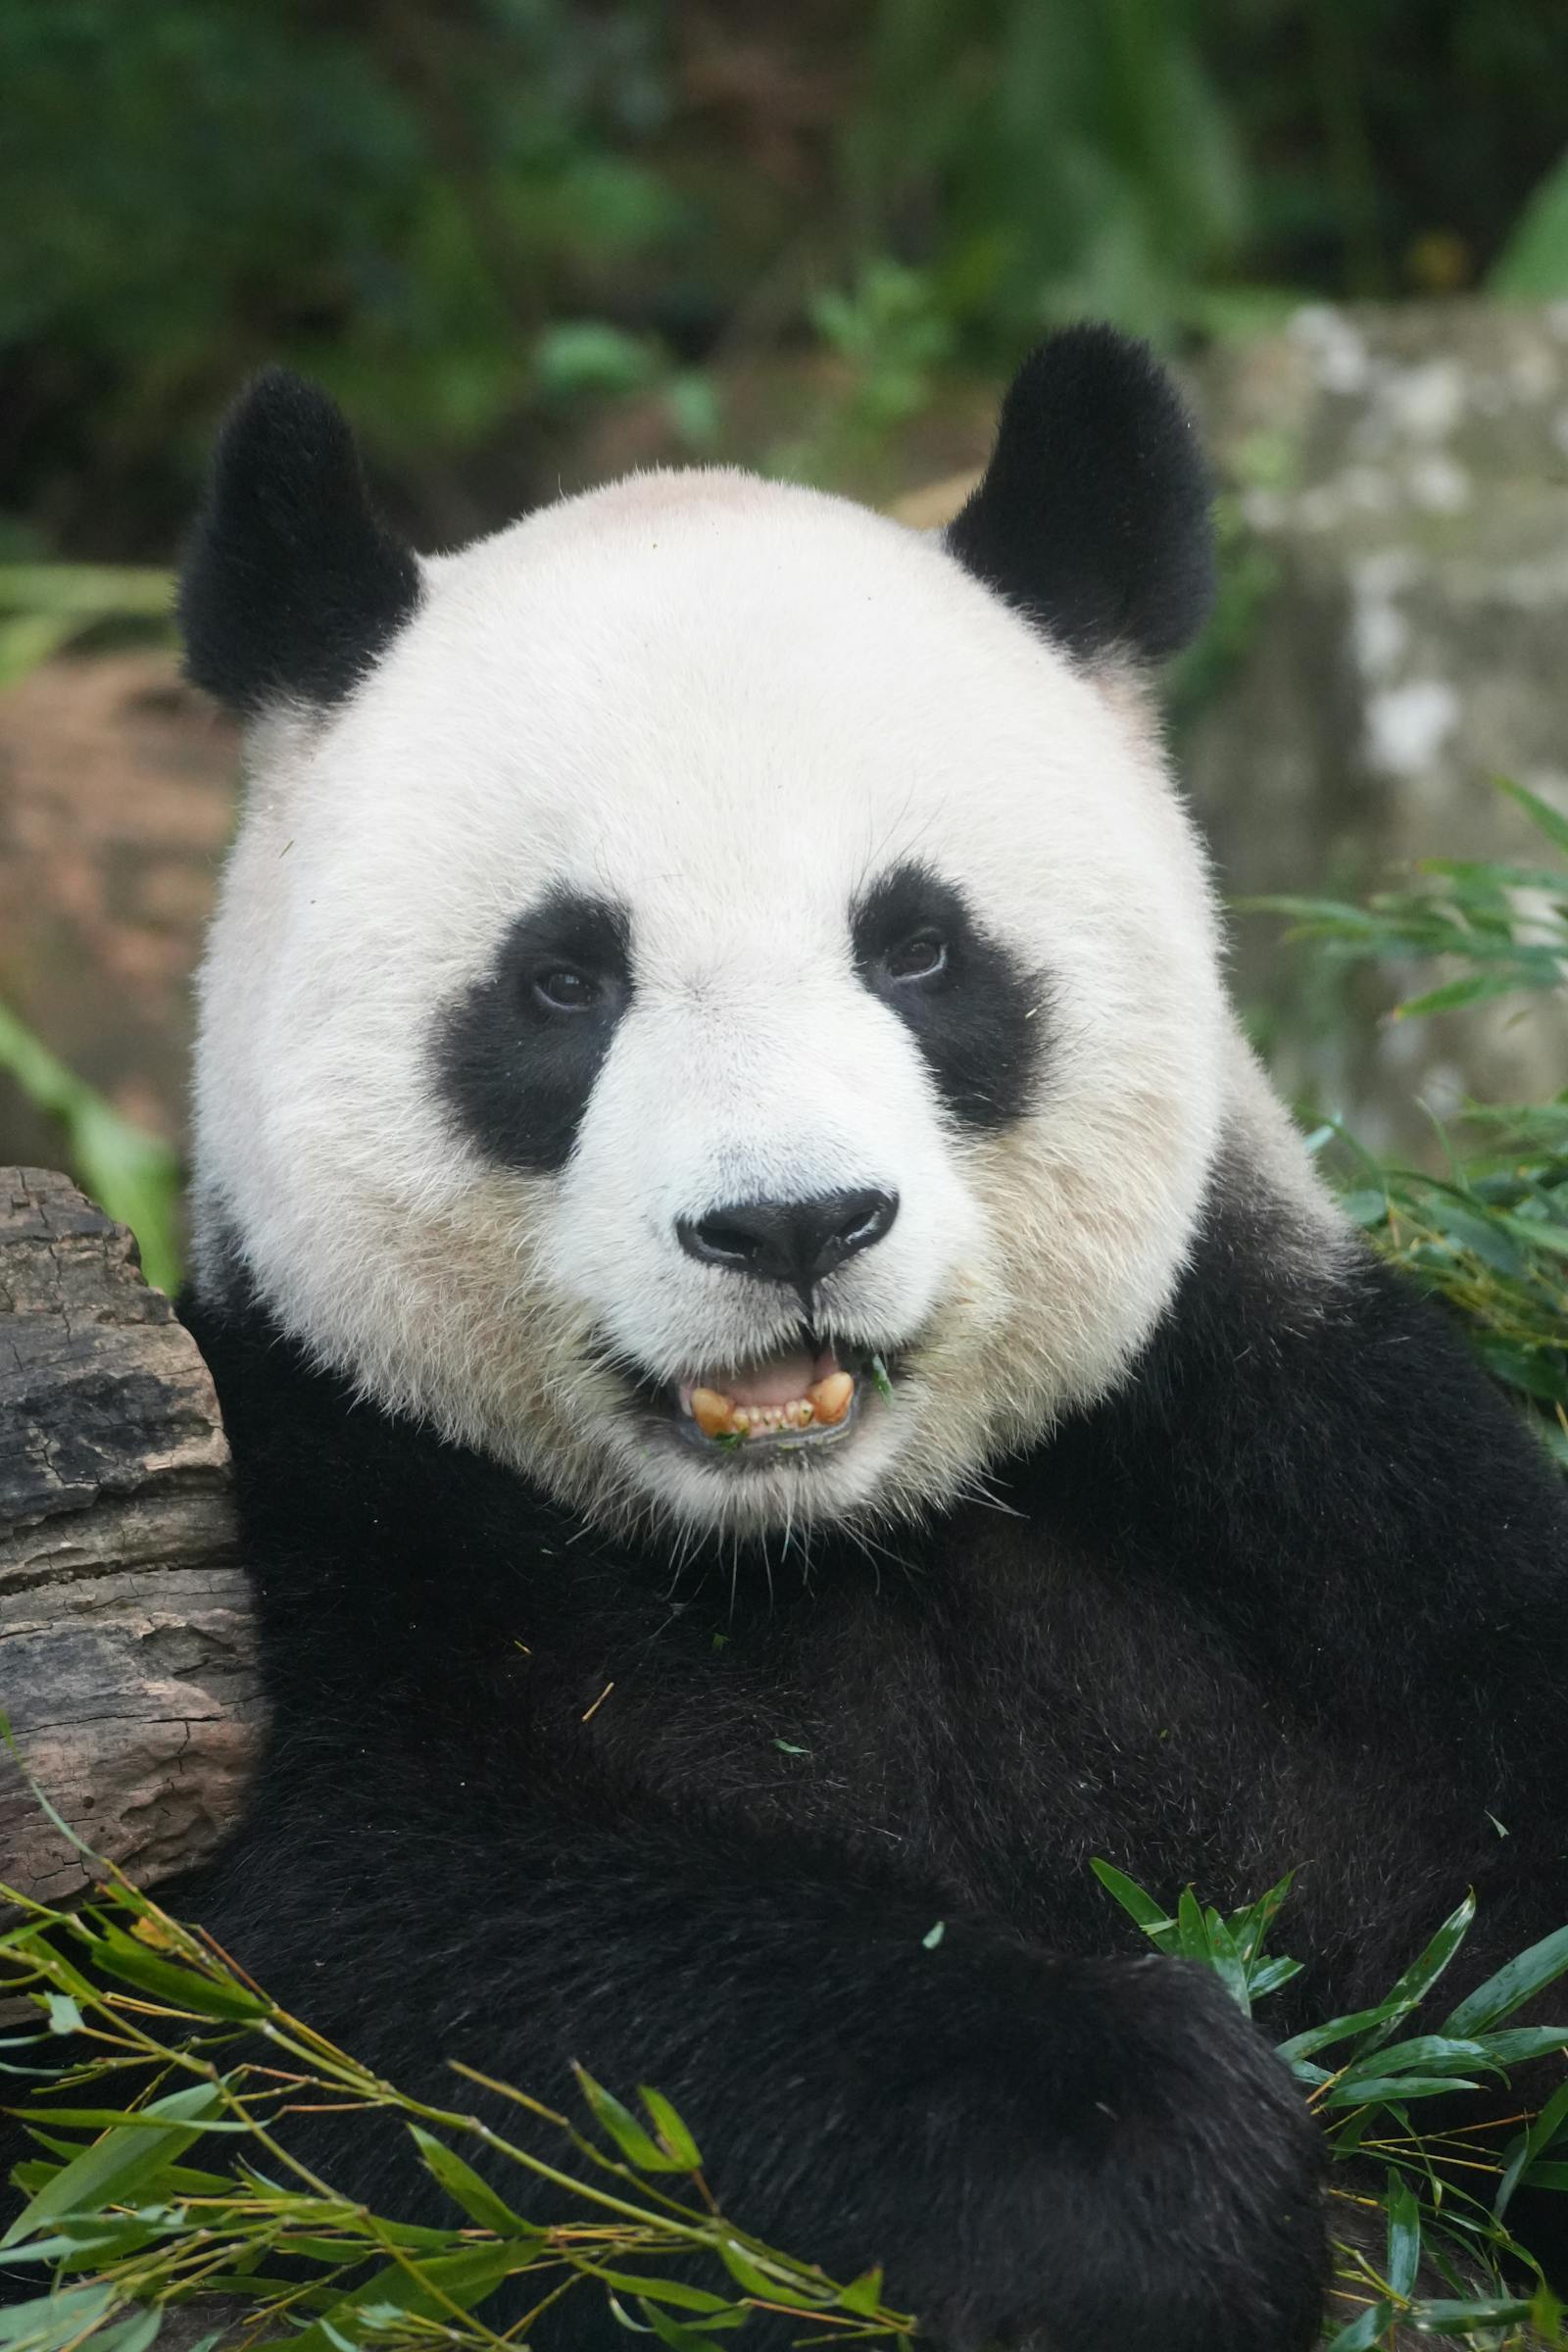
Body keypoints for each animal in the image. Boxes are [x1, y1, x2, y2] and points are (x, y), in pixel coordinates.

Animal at [136, 328, 1568, 2348]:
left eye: (918, 949)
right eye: (563, 980)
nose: (790, 1224)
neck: (831, 1541)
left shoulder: (1296, 1483)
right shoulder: (312, 1531)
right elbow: (441, 1963)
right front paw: (1147, 2156)